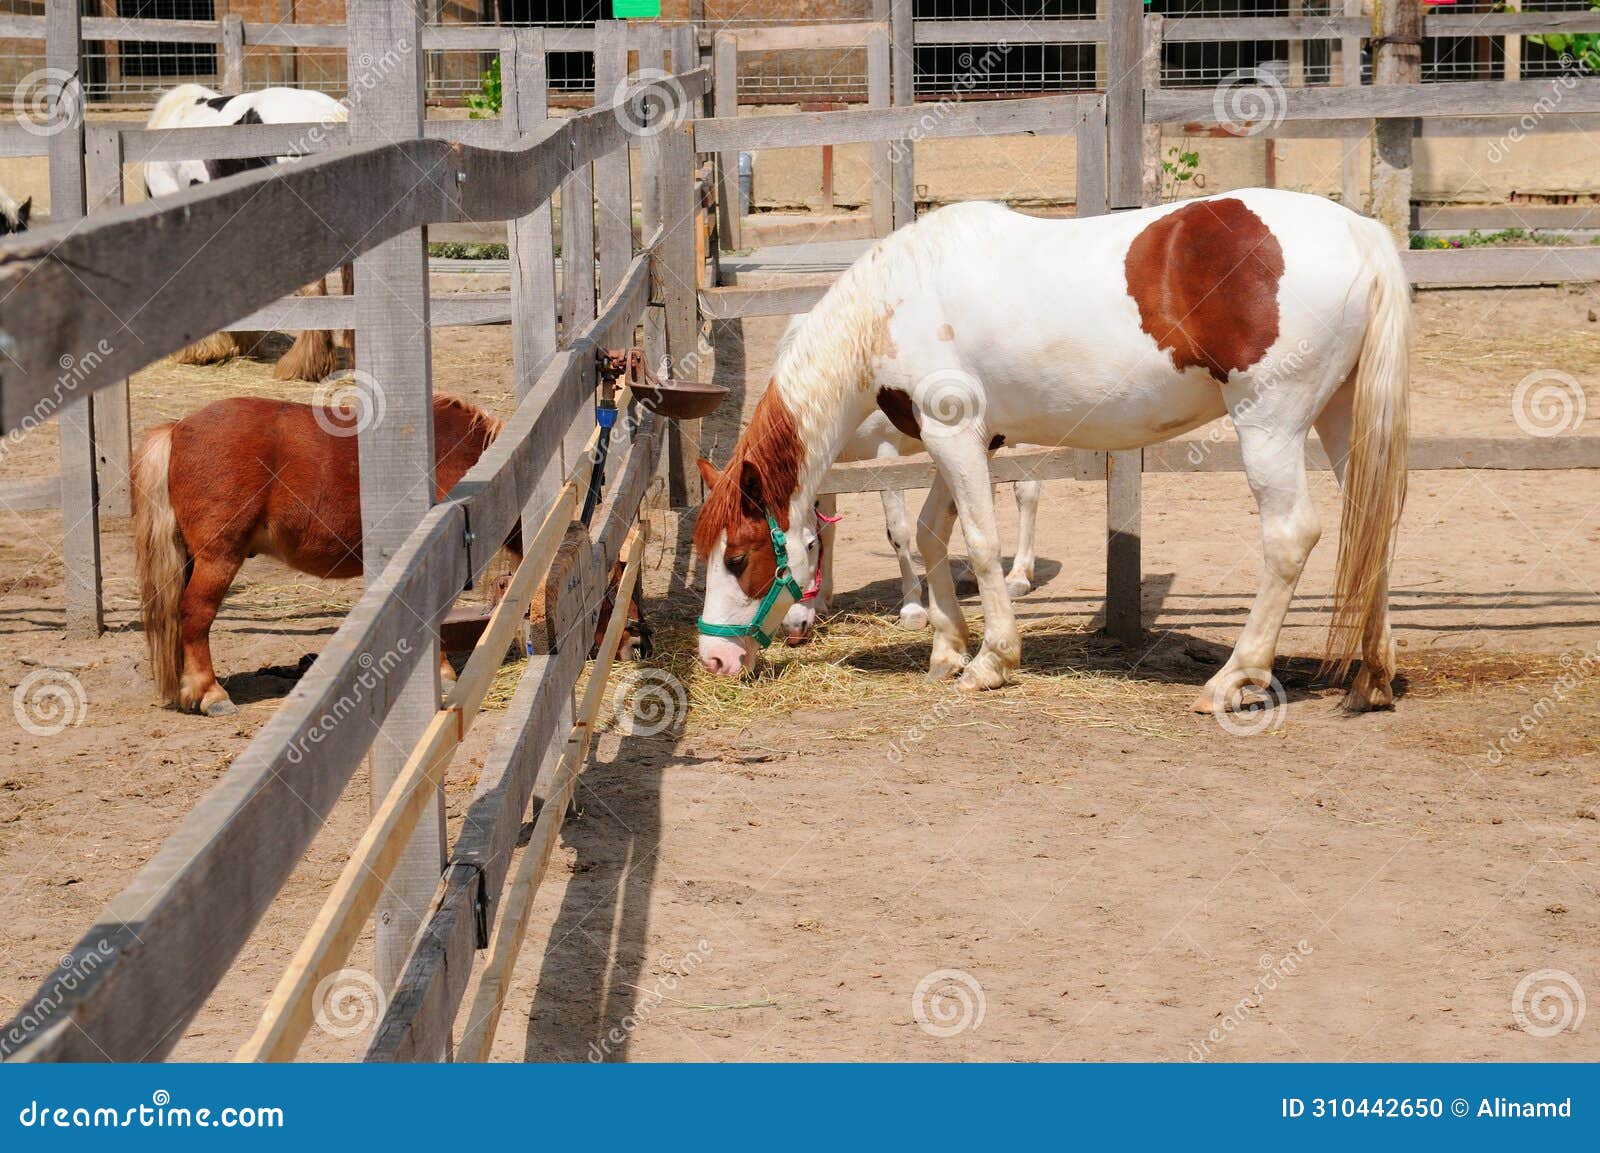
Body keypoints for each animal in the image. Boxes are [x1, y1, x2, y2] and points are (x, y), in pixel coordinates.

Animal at [694, 190, 1409, 714]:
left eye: (738, 557)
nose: (713, 658)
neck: (896, 303)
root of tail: (1362, 234)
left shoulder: (952, 435)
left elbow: (979, 543)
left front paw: (991, 661)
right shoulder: (969, 441)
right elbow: (929, 535)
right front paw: (946, 648)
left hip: (1271, 425)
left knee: (1290, 537)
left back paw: (1234, 680)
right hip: (1342, 419)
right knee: (1370, 524)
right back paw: (1372, 675)